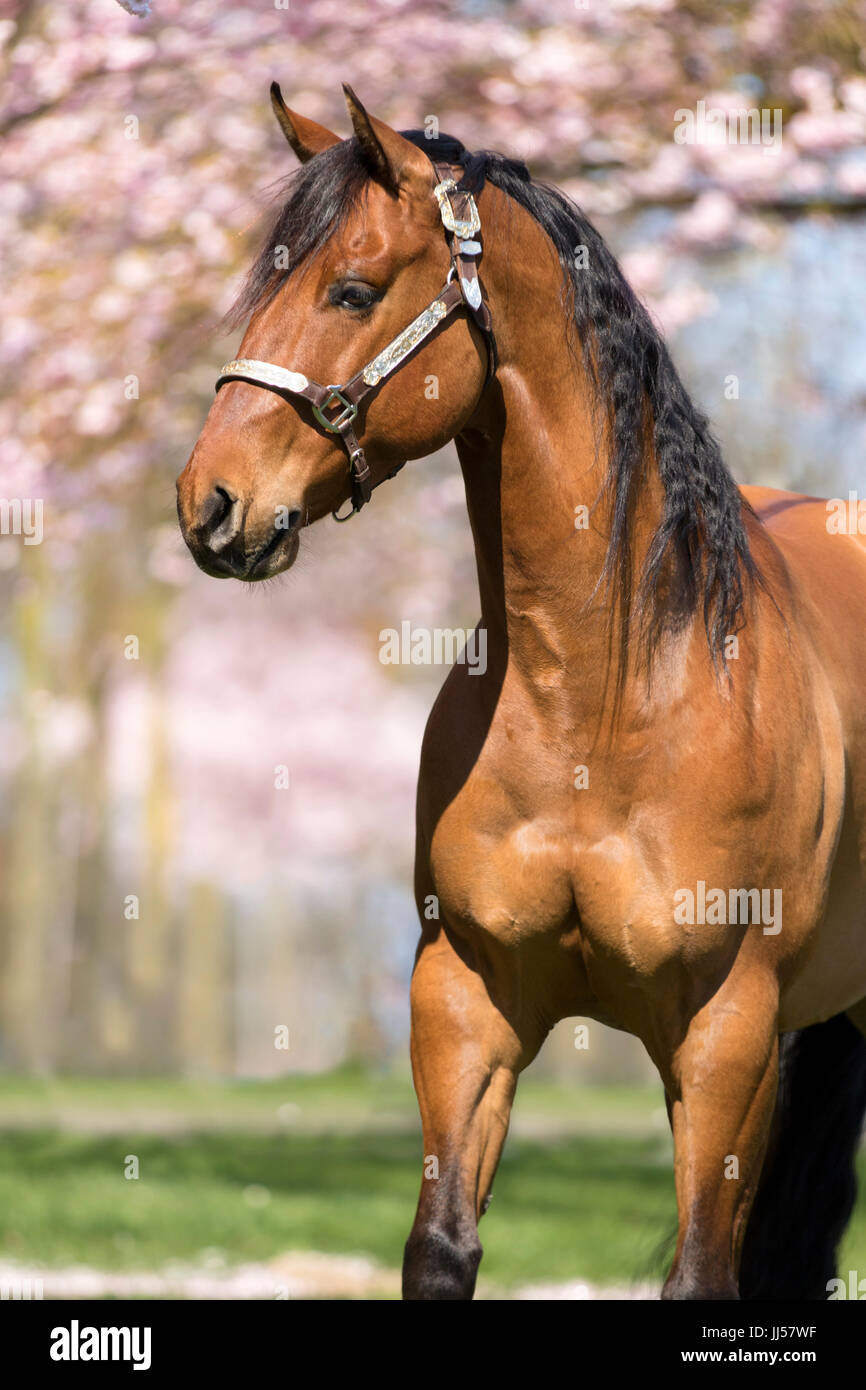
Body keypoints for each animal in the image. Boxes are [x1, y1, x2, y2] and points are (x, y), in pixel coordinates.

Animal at [177, 83, 866, 1300]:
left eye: (352, 289)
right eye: (263, 288)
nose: (208, 502)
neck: (603, 697)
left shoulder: (726, 1029)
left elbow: (702, 1271)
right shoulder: (465, 1000)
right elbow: (441, 1244)